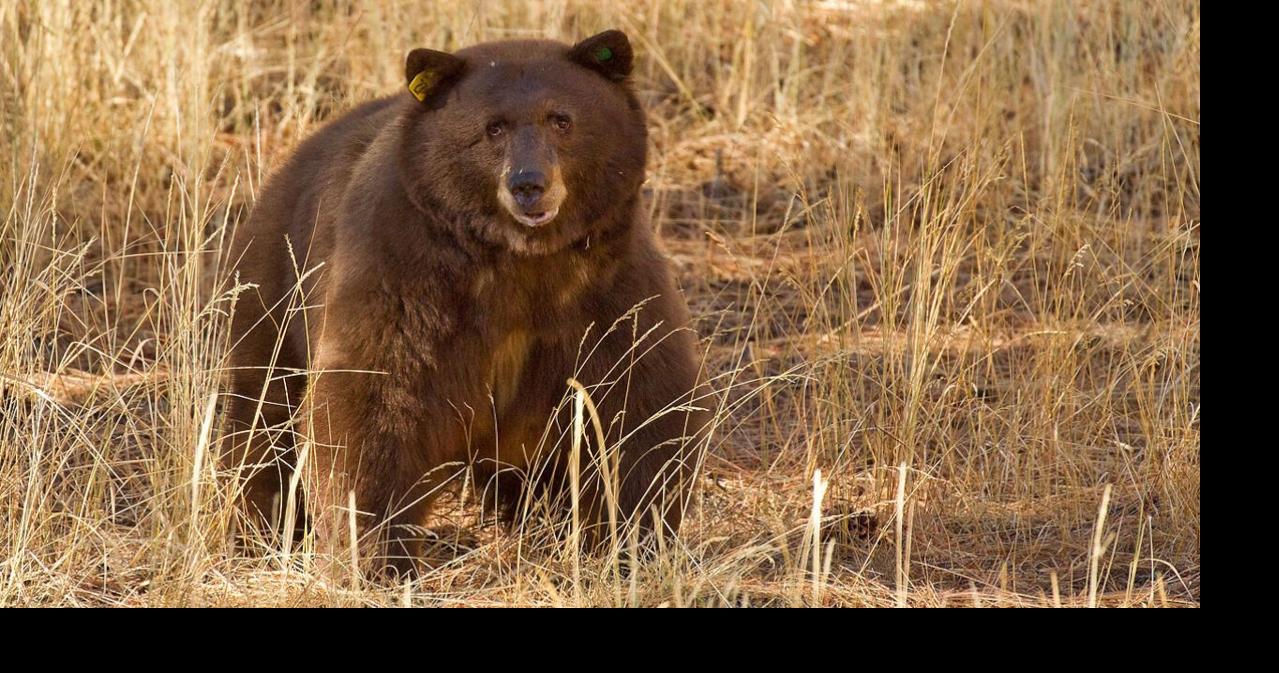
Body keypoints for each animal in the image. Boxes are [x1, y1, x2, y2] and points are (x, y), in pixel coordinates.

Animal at [222, 30, 709, 577]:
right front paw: (375, 554)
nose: (529, 184)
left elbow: (639, 398)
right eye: (493, 127)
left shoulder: (606, 286)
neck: (521, 260)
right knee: (263, 412)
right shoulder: (407, 273)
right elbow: (375, 400)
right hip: (278, 280)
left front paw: (632, 540)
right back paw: (264, 531)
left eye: (561, 119)